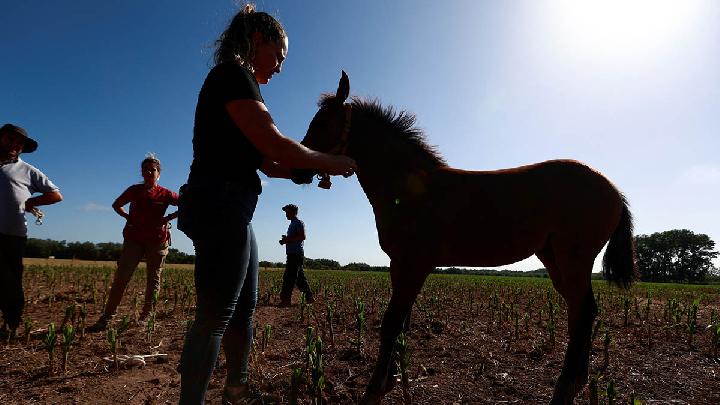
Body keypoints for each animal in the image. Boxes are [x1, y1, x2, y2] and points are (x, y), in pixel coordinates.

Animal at [294, 71, 637, 404]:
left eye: (322, 122)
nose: (298, 170)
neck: (411, 189)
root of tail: (614, 190)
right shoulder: (398, 265)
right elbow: (400, 321)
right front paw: (390, 378)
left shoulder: (415, 264)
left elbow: (392, 322)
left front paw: (375, 388)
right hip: (554, 260)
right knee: (580, 312)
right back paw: (577, 382)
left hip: (573, 259)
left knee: (584, 312)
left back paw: (565, 388)